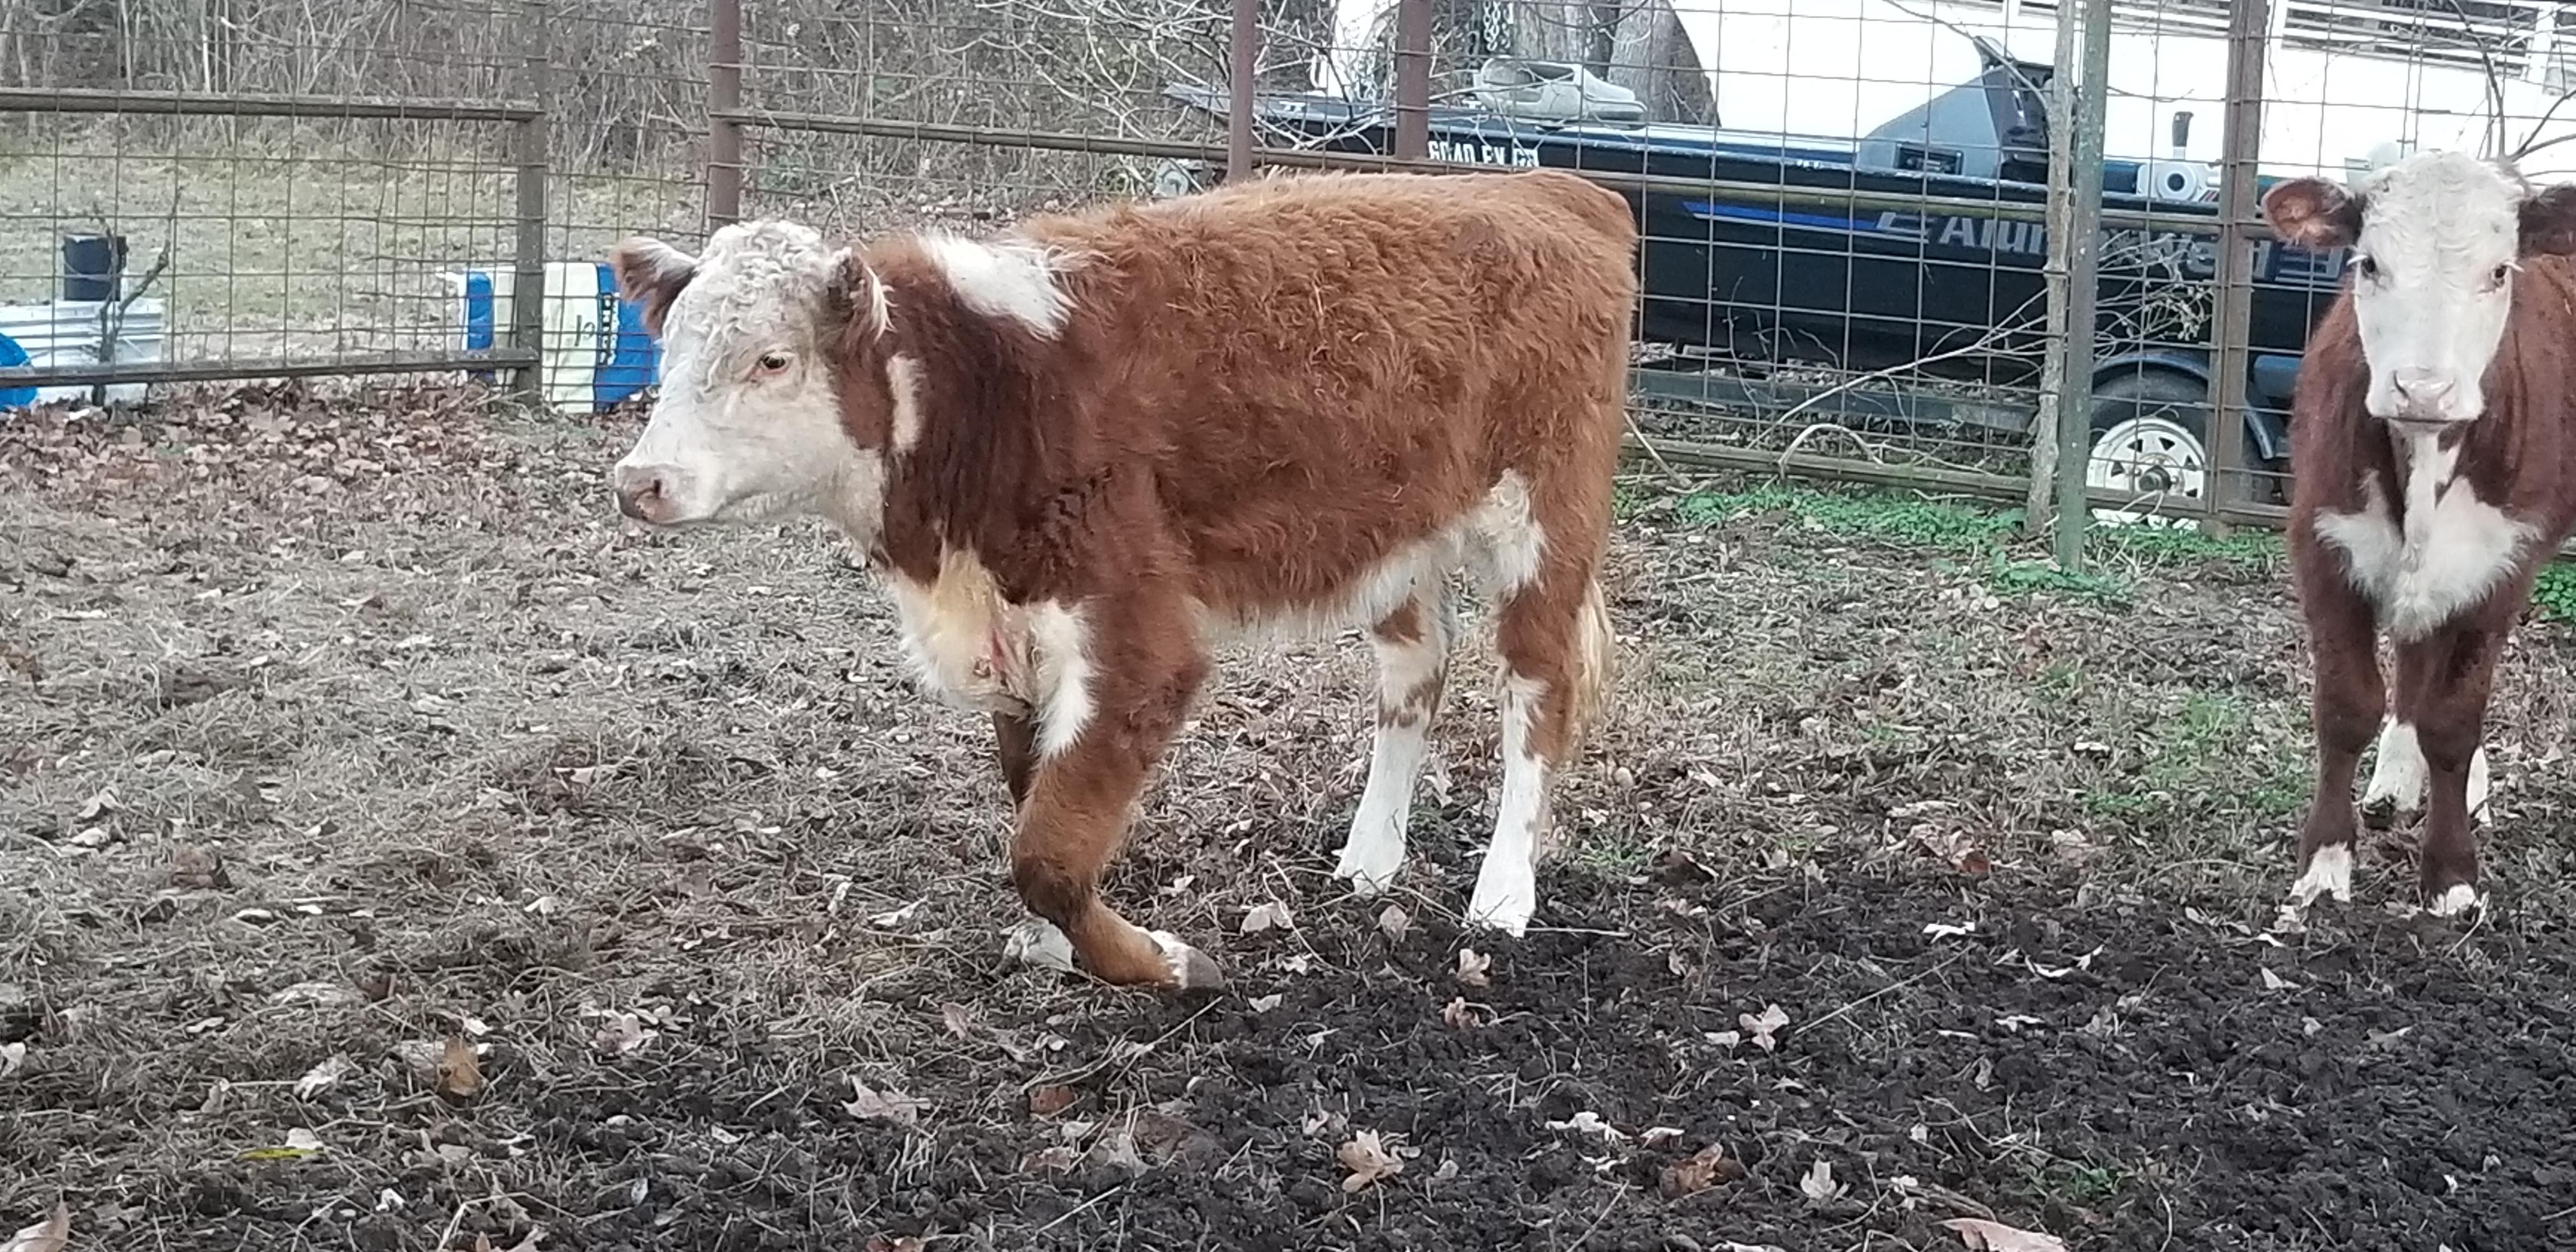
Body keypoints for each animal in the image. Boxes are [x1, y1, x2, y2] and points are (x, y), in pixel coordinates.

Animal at [604, 169, 1636, 989]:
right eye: (669, 351)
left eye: (773, 360)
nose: (638, 481)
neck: (990, 390)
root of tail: (1552, 188)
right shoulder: (1015, 629)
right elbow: (1033, 790)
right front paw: (1049, 949)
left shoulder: (1137, 636)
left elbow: (1049, 851)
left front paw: (1164, 964)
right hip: (1397, 539)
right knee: (1415, 676)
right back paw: (1371, 859)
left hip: (1547, 523)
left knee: (1537, 695)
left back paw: (1502, 894)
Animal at [2261, 150, 2576, 918]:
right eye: (2369, 263)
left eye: (2500, 271)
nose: (2424, 390)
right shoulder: (2323, 541)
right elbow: (2347, 706)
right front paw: (2325, 863)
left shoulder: (2503, 565)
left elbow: (2454, 720)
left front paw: (2453, 874)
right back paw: (2395, 783)